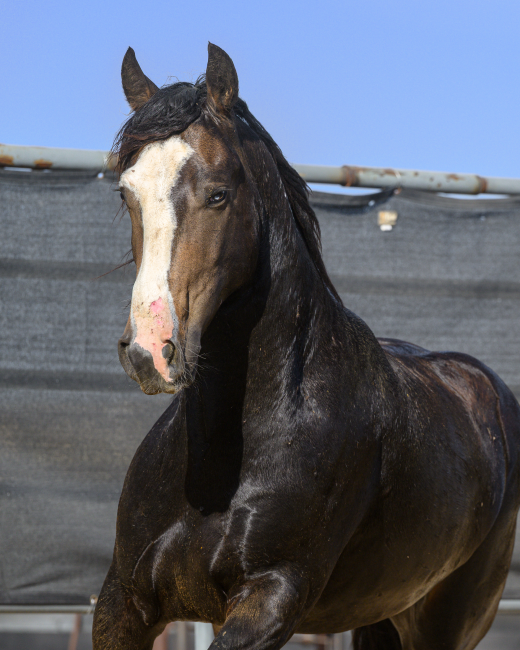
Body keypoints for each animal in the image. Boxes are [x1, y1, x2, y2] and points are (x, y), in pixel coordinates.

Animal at [92, 43, 520, 650]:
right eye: (127, 193)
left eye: (219, 194)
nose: (151, 351)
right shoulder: (123, 600)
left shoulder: (271, 597)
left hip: (444, 622)